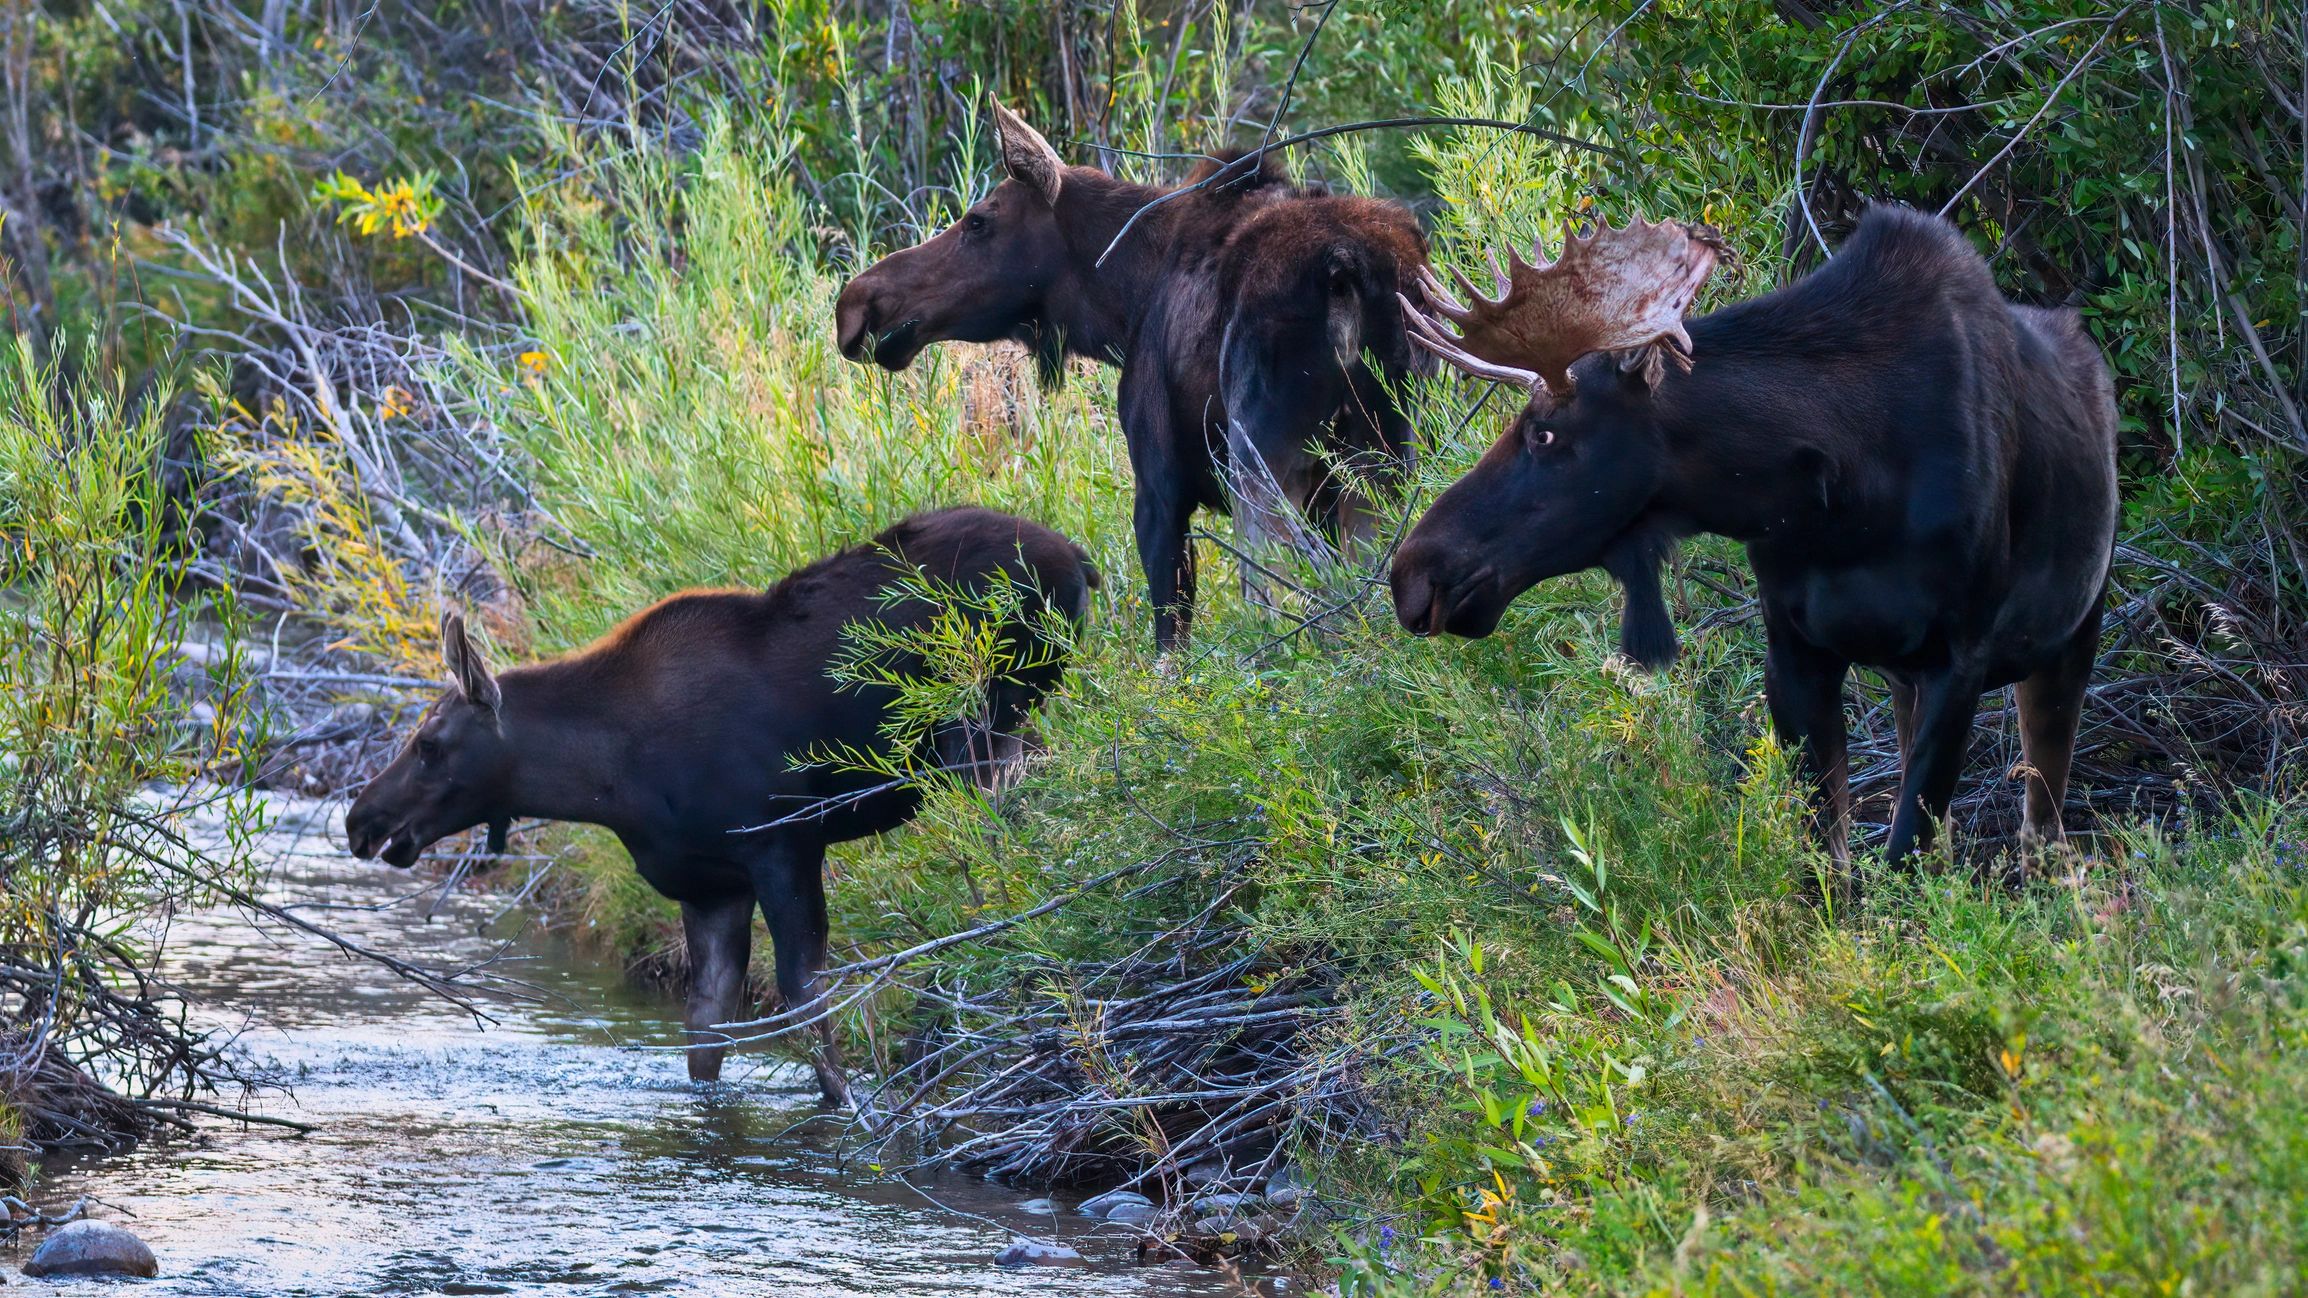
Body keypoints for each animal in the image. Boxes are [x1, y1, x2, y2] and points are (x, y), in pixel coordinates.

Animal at [1389, 205, 2118, 874]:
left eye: (1543, 431)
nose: (1412, 573)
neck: (1842, 485)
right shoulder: (1796, 654)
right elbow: (1829, 868)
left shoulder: (1959, 659)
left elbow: (1903, 855)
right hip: (1906, 677)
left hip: (2072, 637)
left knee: (2043, 833)